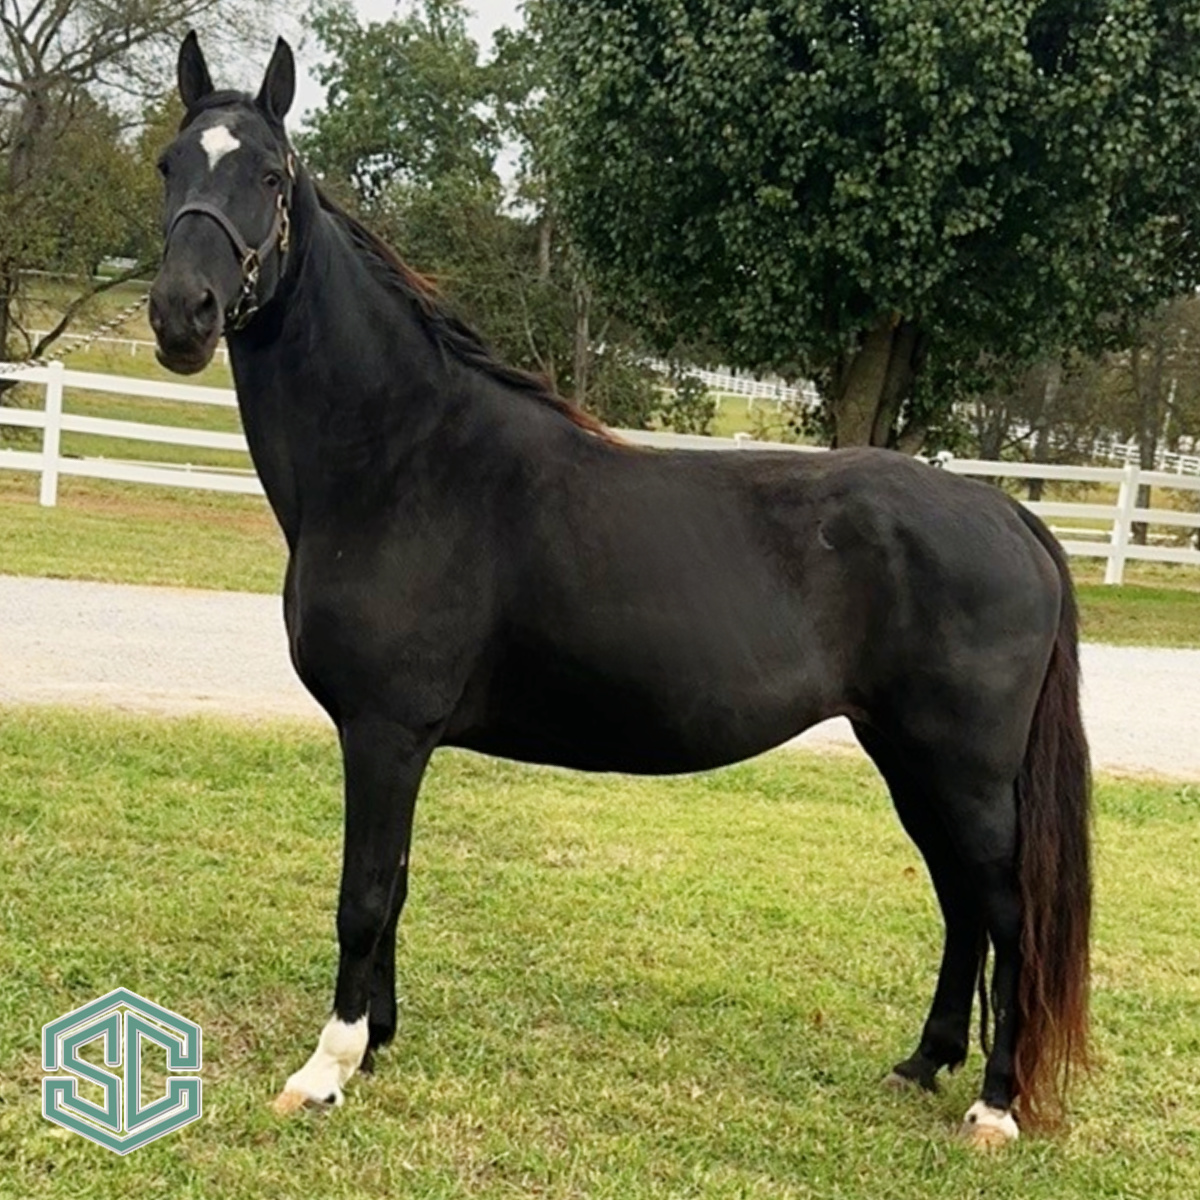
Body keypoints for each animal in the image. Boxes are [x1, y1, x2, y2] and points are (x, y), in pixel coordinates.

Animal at [149, 34, 1091, 1147]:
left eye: (267, 176)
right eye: (170, 166)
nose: (181, 315)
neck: (402, 457)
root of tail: (1008, 515)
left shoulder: (383, 732)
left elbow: (364, 896)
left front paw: (327, 1069)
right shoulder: (404, 743)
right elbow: (400, 888)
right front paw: (376, 1042)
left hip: (966, 772)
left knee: (1006, 911)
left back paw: (994, 1106)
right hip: (909, 758)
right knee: (959, 903)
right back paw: (924, 1063)